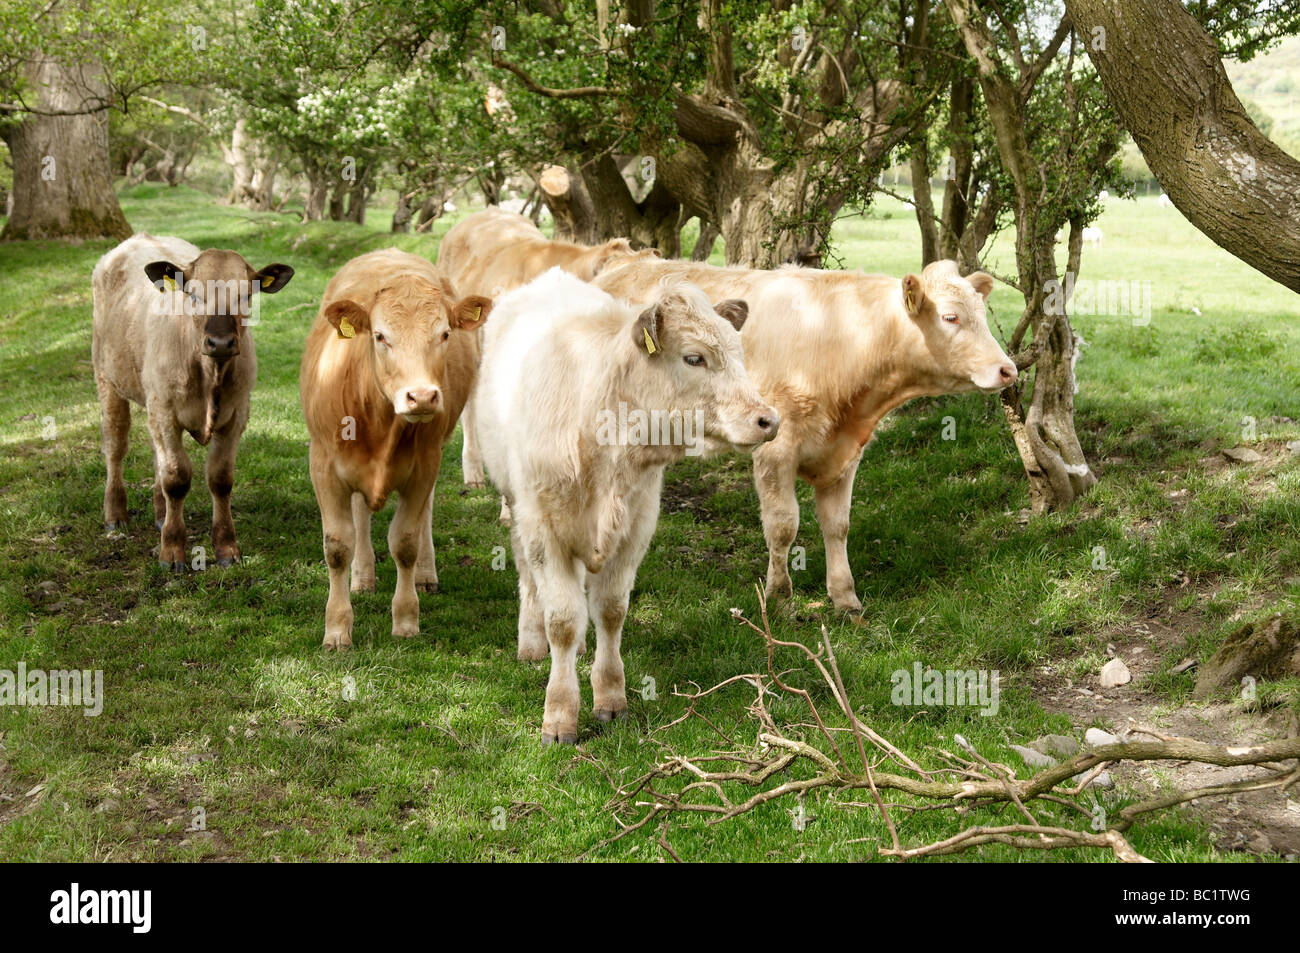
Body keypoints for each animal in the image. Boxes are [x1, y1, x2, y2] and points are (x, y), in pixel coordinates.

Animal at [91, 233, 293, 569]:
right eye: (194, 295)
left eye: (246, 296)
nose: (221, 342)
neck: (210, 376)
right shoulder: (165, 412)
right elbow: (176, 478)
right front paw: (172, 550)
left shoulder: (236, 414)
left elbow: (220, 478)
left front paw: (226, 547)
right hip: (108, 379)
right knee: (116, 446)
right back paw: (115, 515)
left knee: (156, 455)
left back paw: (160, 515)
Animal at [299, 248, 491, 650]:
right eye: (380, 335)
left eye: (444, 334)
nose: (422, 396)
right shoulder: (323, 465)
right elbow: (337, 545)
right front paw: (337, 629)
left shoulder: (424, 465)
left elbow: (405, 541)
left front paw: (405, 620)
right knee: (359, 515)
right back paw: (362, 575)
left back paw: (425, 573)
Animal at [472, 269, 779, 743]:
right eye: (694, 358)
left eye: (739, 353)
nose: (768, 420)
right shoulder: (543, 527)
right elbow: (561, 619)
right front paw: (559, 713)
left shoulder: (637, 525)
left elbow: (611, 611)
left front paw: (611, 697)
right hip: (514, 499)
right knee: (527, 575)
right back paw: (531, 640)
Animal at [594, 258, 1017, 613]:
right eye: (951, 317)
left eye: (981, 314)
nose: (1008, 369)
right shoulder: (775, 448)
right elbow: (783, 526)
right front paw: (779, 599)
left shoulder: (846, 455)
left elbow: (838, 525)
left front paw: (845, 599)